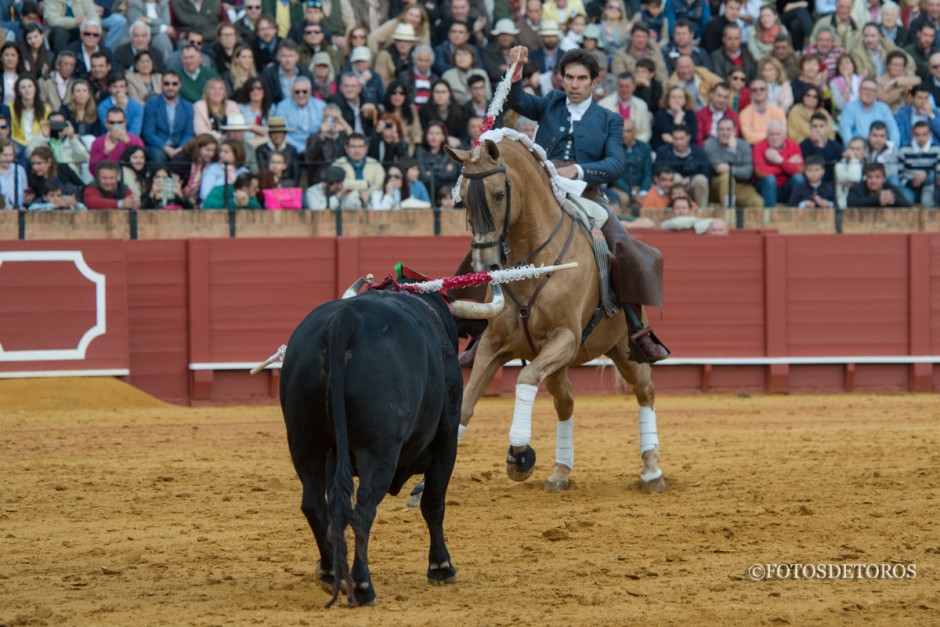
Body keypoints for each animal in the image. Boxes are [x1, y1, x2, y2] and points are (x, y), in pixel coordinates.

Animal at [444, 132, 666, 493]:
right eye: (462, 197)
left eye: (499, 193)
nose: (484, 264)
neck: (533, 261)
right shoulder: (494, 343)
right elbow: (466, 402)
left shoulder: (566, 338)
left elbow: (524, 378)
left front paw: (520, 454)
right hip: (558, 363)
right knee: (566, 402)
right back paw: (561, 471)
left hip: (623, 348)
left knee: (645, 391)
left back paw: (651, 471)